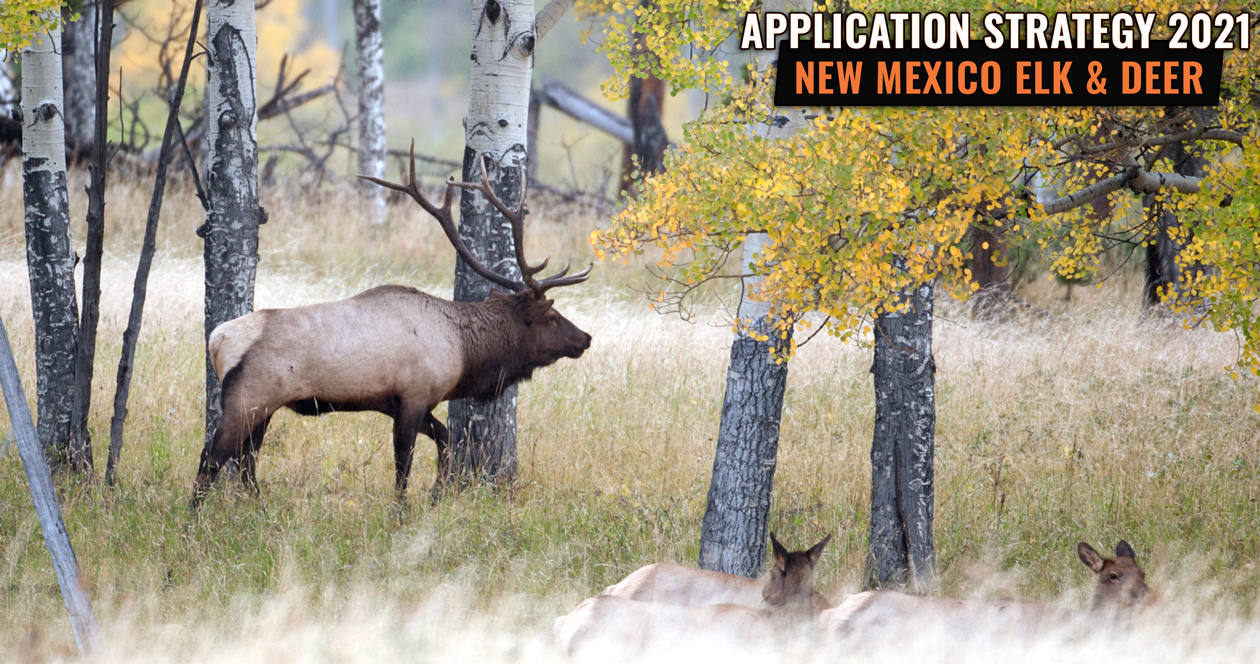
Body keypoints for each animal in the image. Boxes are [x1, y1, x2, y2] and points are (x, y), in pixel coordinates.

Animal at [191, 143, 592, 505]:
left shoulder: (401, 402)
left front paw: (436, 494)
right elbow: (404, 464)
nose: (585, 338)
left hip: (264, 406)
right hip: (249, 397)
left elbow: (445, 440)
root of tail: (217, 338)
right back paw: (194, 517)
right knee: (212, 457)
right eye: (552, 316)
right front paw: (402, 512)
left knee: (246, 460)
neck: (463, 353)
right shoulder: (414, 394)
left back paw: (258, 509)